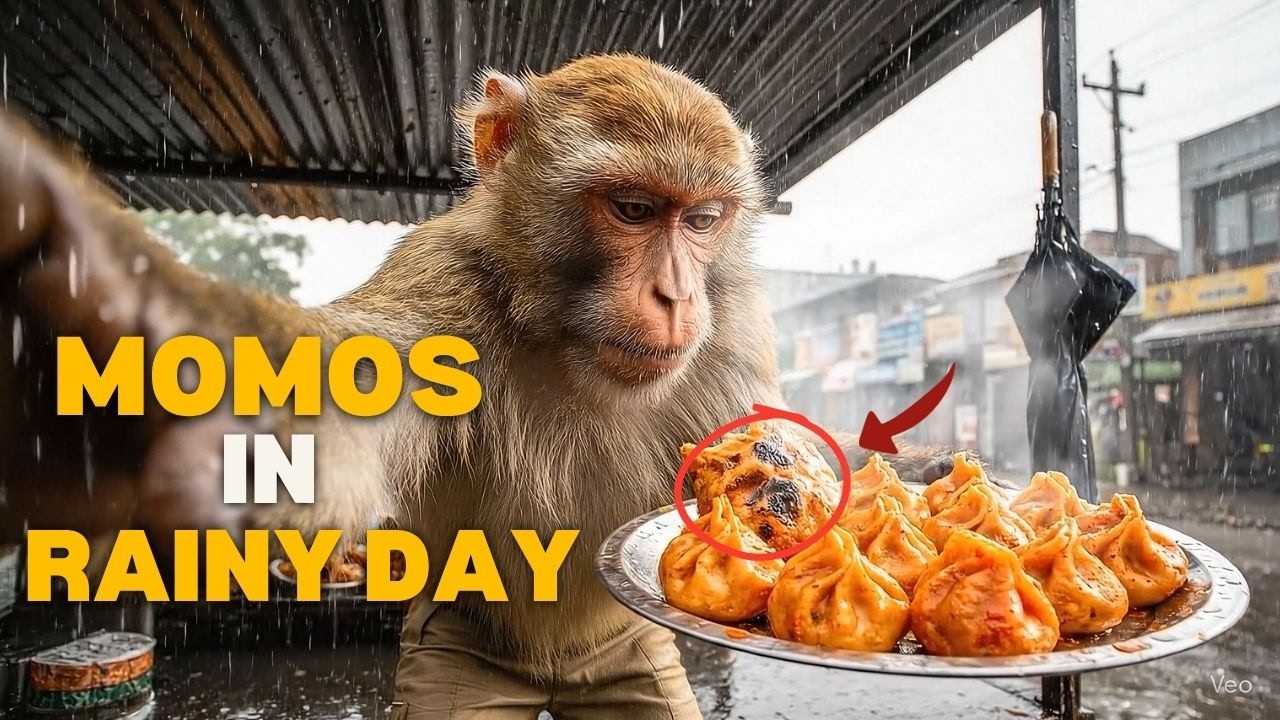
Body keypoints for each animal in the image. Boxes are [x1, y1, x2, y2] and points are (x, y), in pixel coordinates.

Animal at [0, 55, 957, 719]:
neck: (565, 332)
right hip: (455, 642)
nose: (677, 295)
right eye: (634, 210)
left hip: (626, 655)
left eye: (703, 219)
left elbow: (774, 445)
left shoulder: (736, 324)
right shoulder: (437, 286)